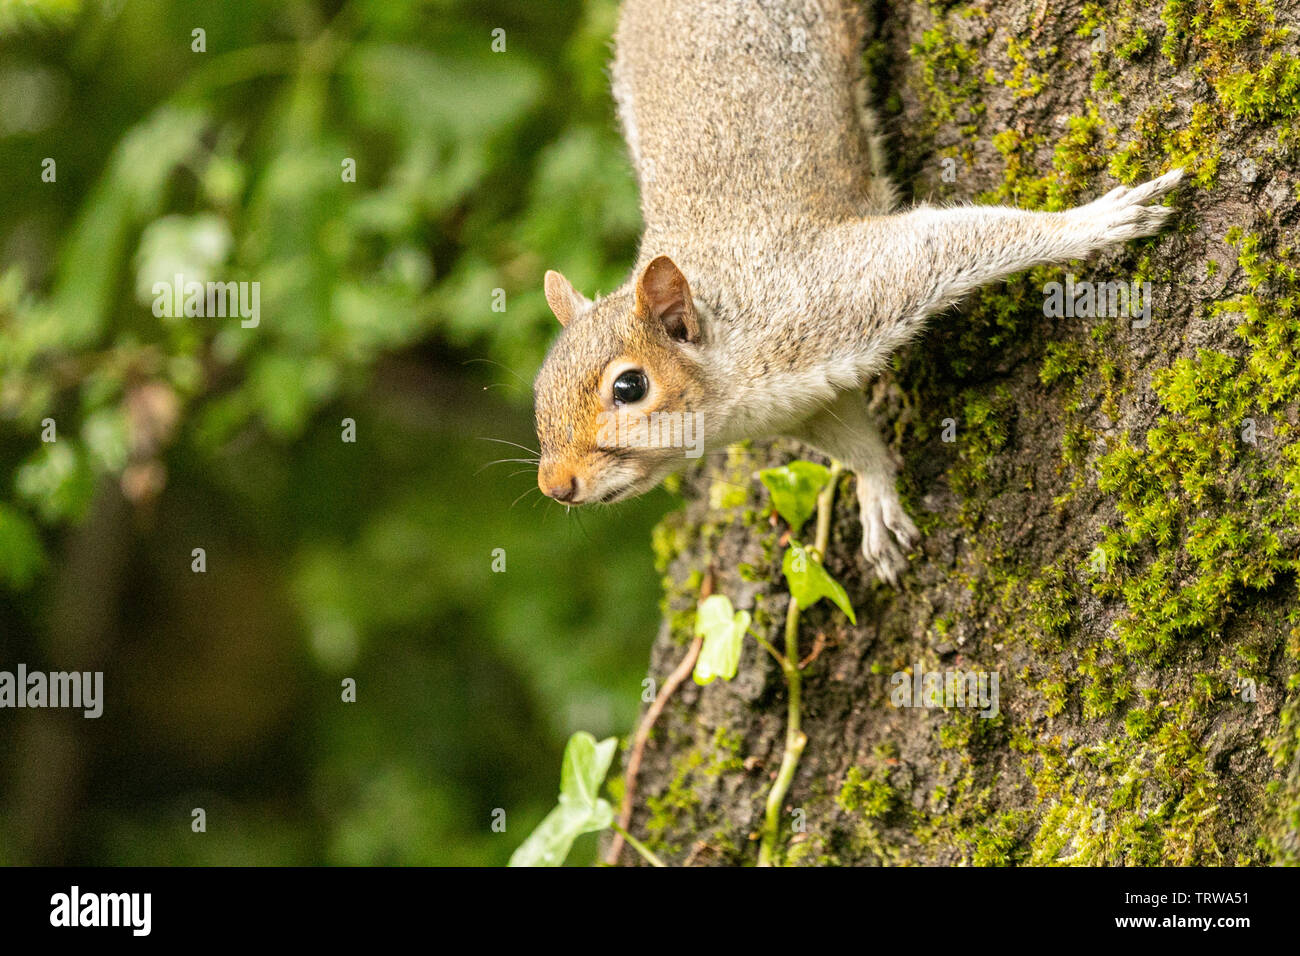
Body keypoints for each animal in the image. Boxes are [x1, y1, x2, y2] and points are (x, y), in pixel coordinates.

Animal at [533, 0, 1184, 585]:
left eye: (630, 387)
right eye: (539, 392)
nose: (555, 486)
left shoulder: (831, 291)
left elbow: (946, 242)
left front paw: (1089, 223)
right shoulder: (808, 405)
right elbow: (855, 443)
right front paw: (876, 494)